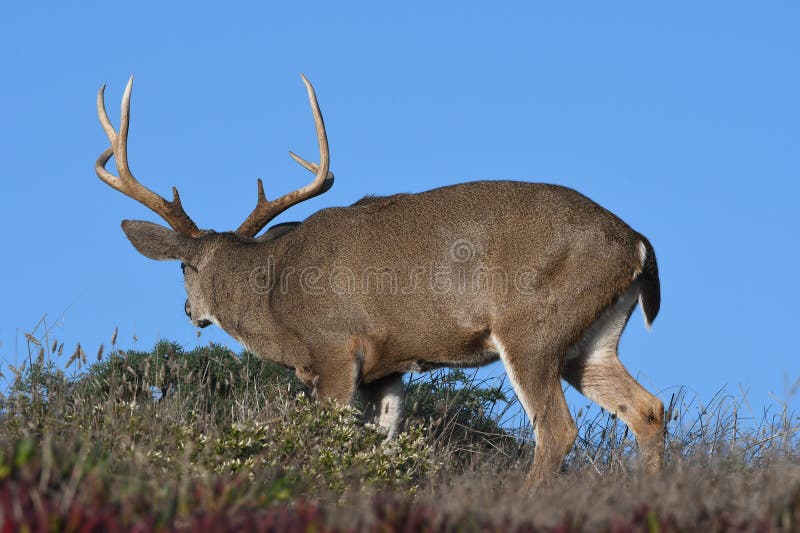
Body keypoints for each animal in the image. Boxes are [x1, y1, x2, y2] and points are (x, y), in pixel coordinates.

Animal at [94, 75, 664, 486]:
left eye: (184, 267)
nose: (190, 312)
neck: (274, 297)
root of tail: (637, 242)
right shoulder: (386, 368)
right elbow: (382, 445)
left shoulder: (335, 348)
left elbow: (331, 439)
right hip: (590, 341)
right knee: (648, 409)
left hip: (533, 328)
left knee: (557, 430)